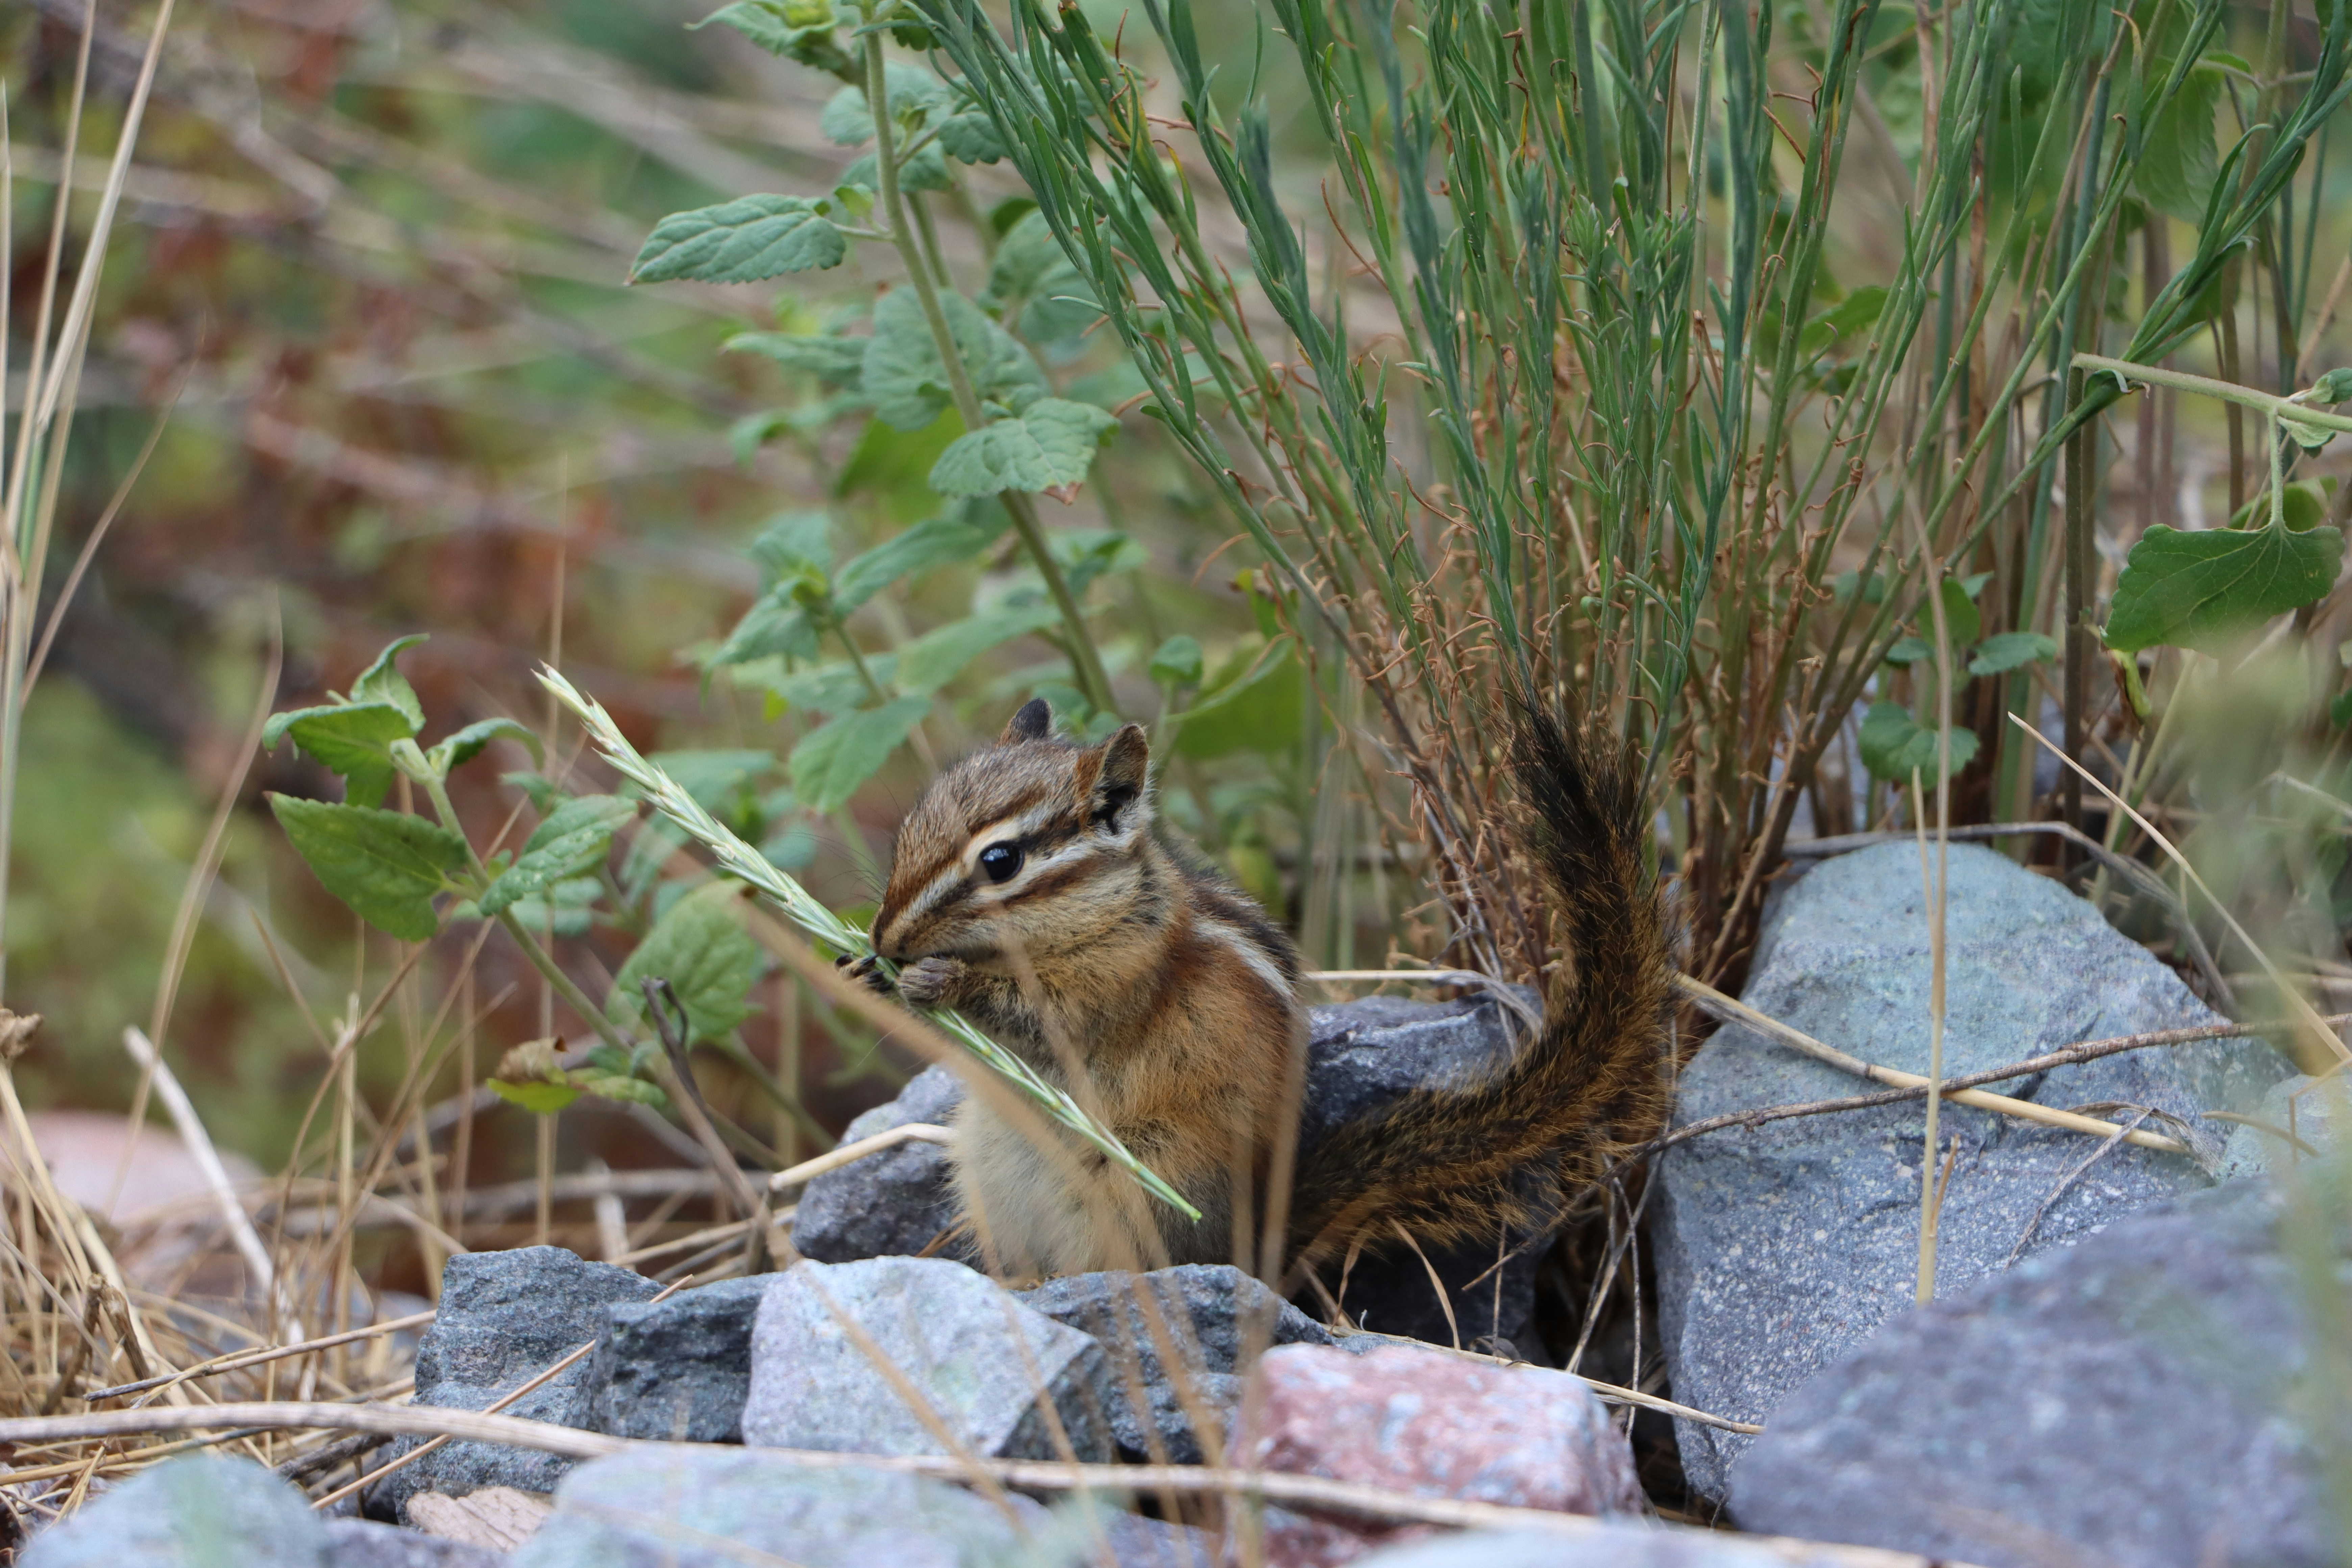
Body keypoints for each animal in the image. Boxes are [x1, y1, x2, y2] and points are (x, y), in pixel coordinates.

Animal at [845, 695, 1671, 1290]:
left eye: (1001, 862)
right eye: (912, 827)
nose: (887, 937)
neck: (1106, 909)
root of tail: (1254, 1247)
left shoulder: (1116, 980)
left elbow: (1049, 1018)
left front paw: (940, 979)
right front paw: (868, 969)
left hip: (1138, 1186)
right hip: (985, 1167)